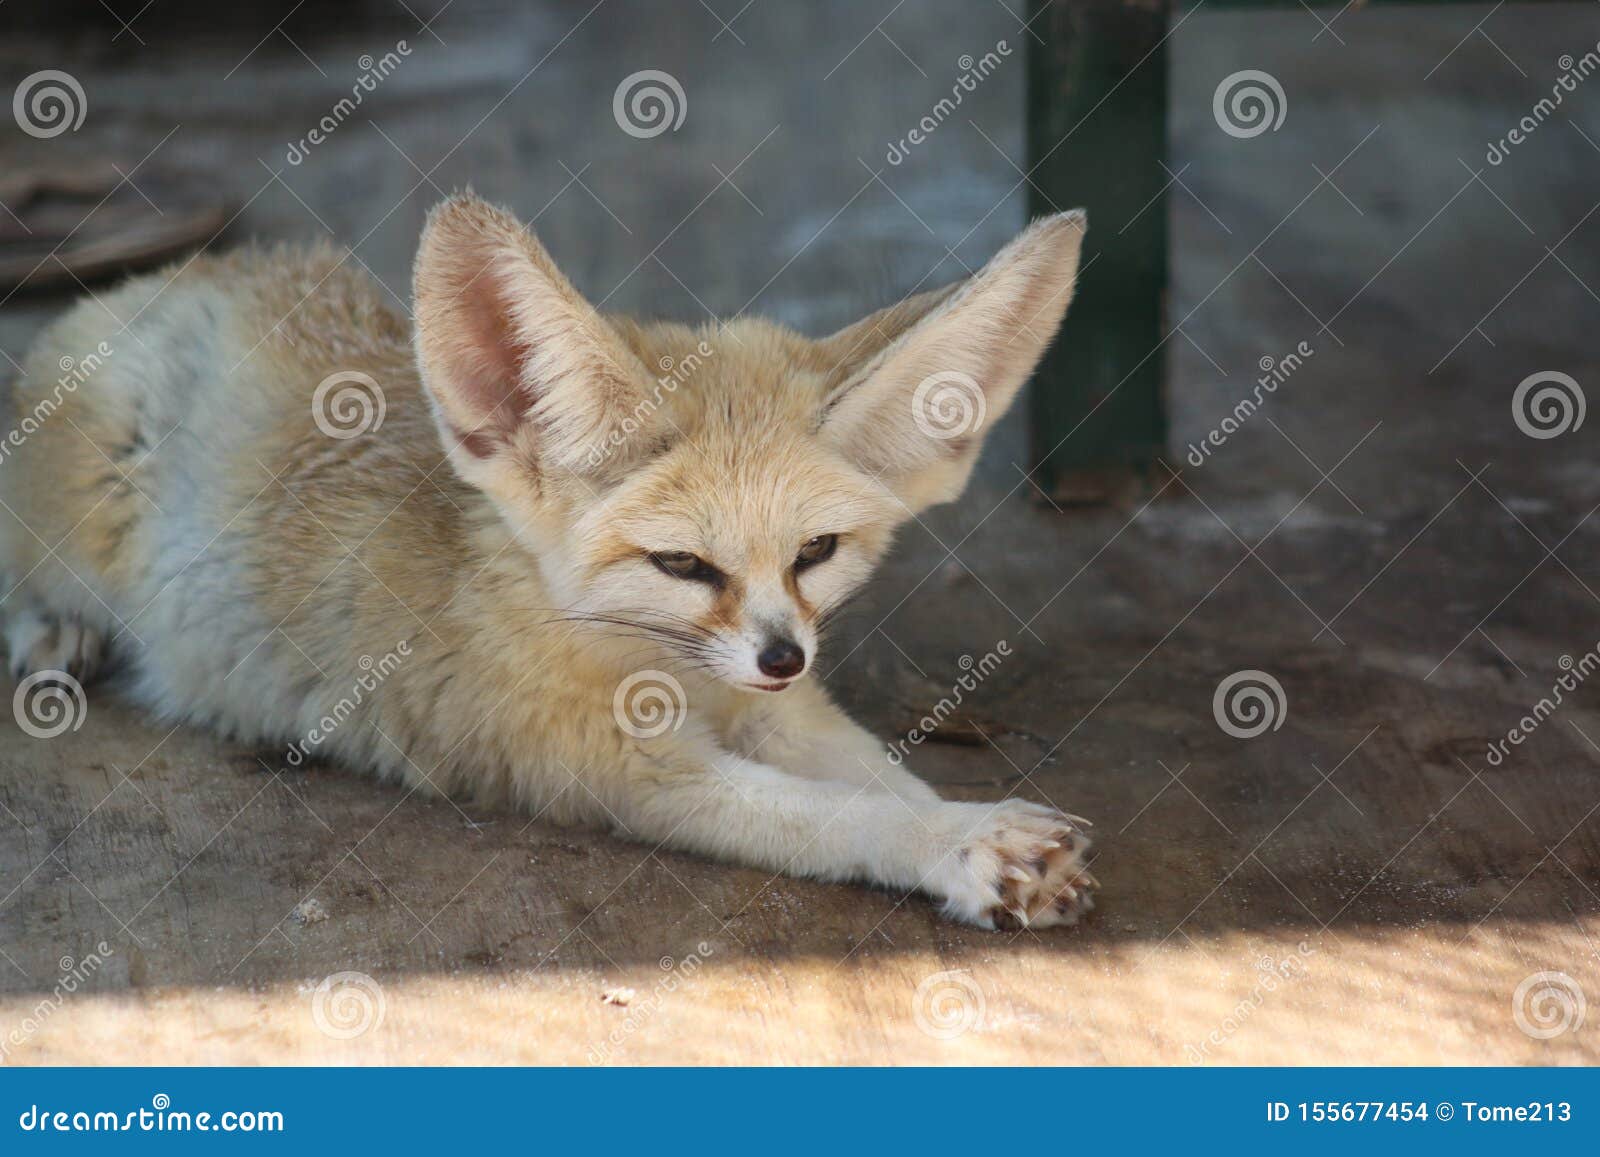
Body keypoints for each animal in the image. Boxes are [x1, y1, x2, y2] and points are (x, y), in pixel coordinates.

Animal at [0, 193, 1095, 930]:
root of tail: (183, 279)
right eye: (681, 562)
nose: (784, 656)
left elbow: (882, 776)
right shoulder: (625, 771)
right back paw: (53, 627)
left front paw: (972, 827)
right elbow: (839, 816)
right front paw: (955, 846)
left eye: (815, 552)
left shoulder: (767, 706)